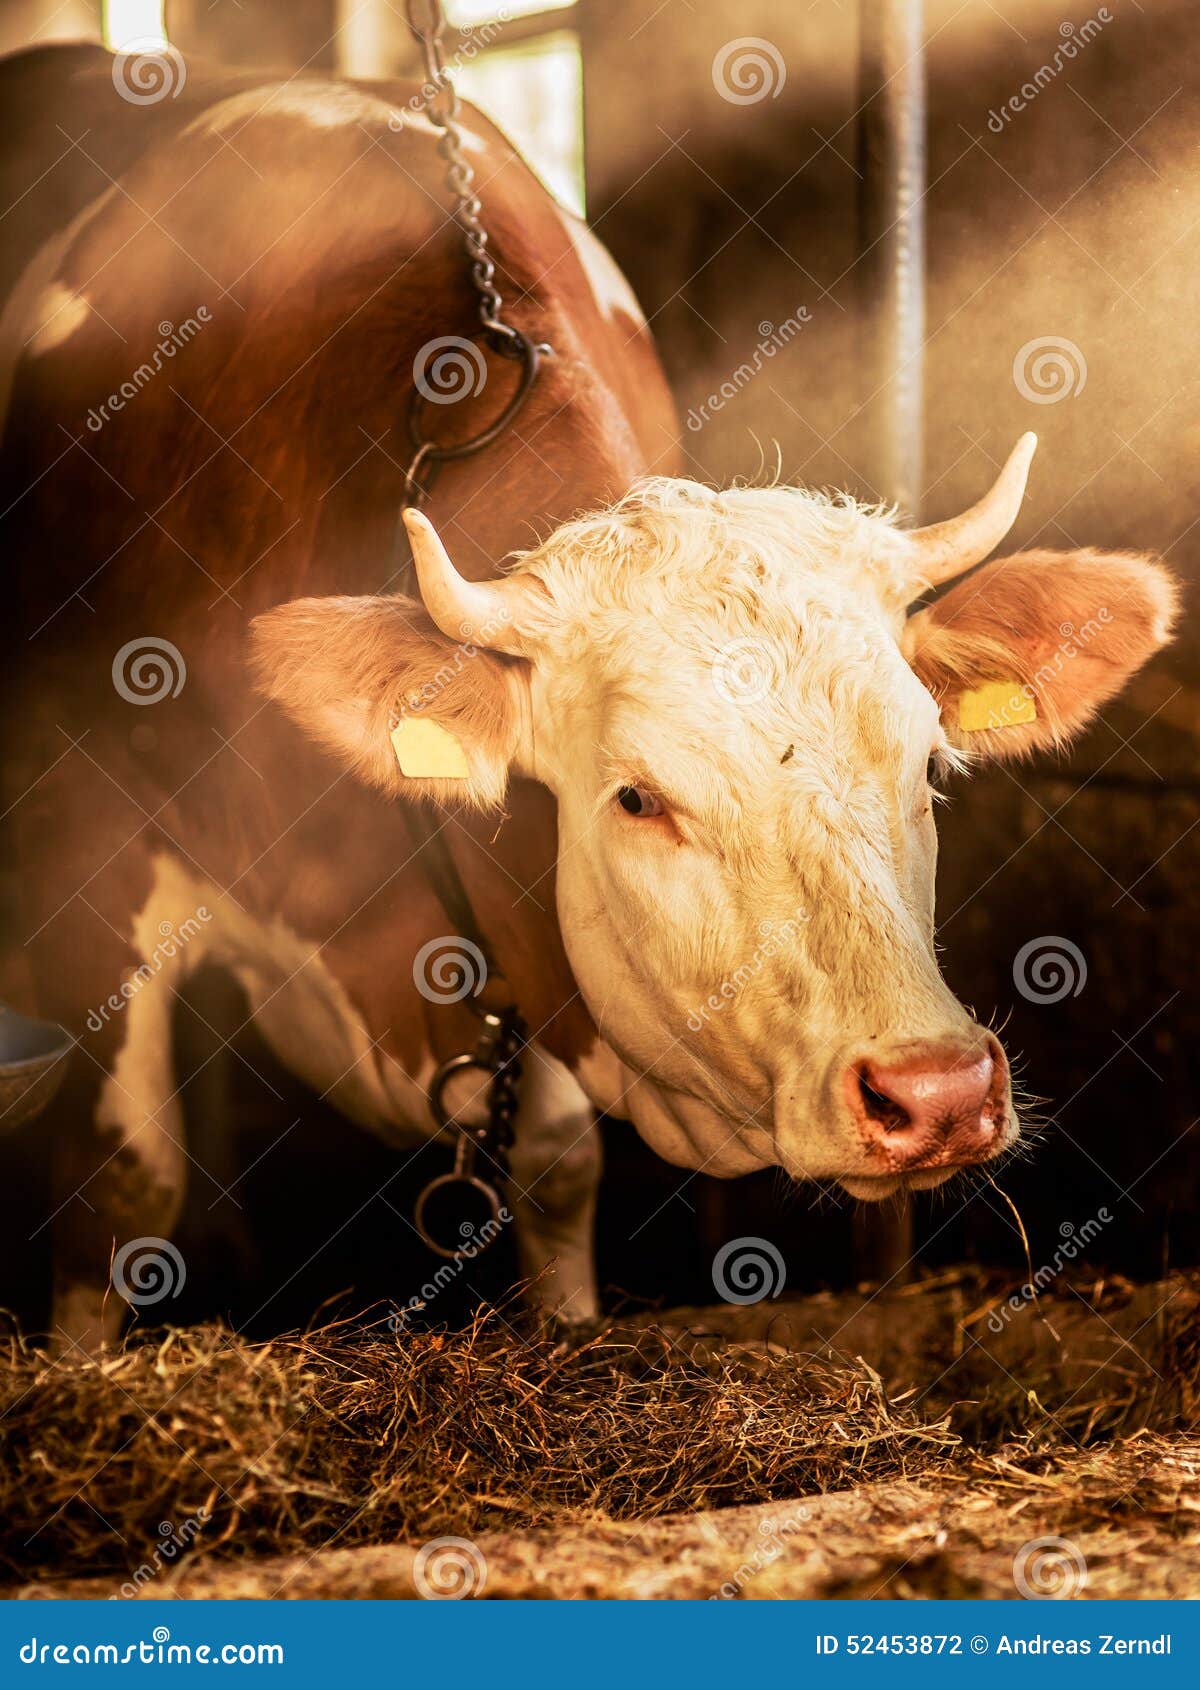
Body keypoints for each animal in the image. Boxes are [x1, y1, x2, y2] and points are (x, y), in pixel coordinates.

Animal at [0, 46, 1176, 1352]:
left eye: (926, 767)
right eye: (636, 799)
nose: (937, 1091)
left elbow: (557, 1165)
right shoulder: (84, 834)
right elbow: (123, 1182)